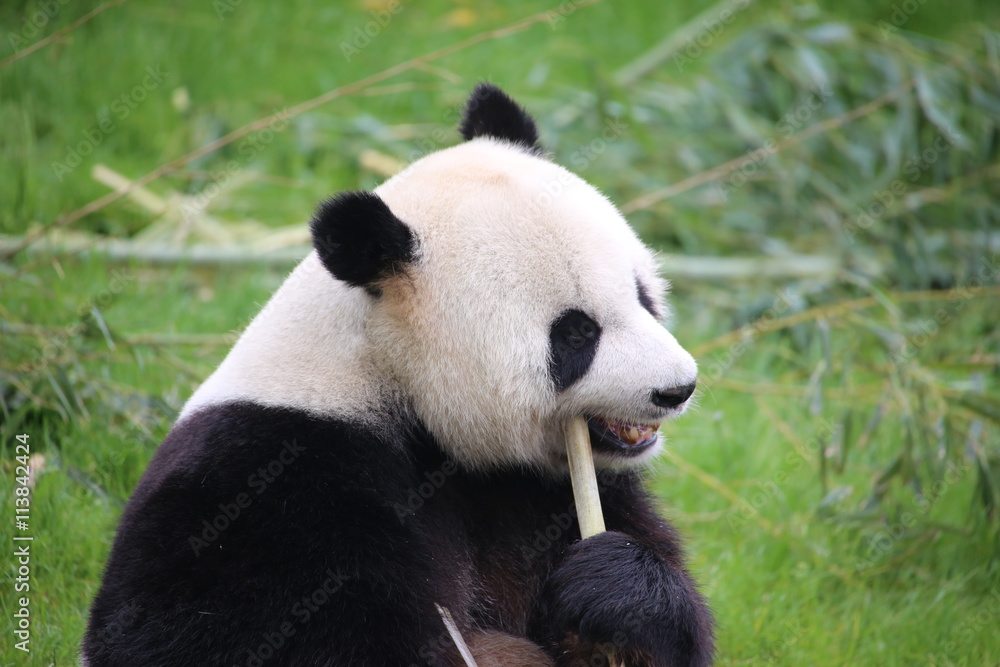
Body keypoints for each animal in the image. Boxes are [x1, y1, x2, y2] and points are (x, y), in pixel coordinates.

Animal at [83, 84, 714, 667]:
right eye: (576, 333)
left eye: (643, 295)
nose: (677, 388)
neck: (385, 373)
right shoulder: (270, 481)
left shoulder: (542, 492)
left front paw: (613, 594)